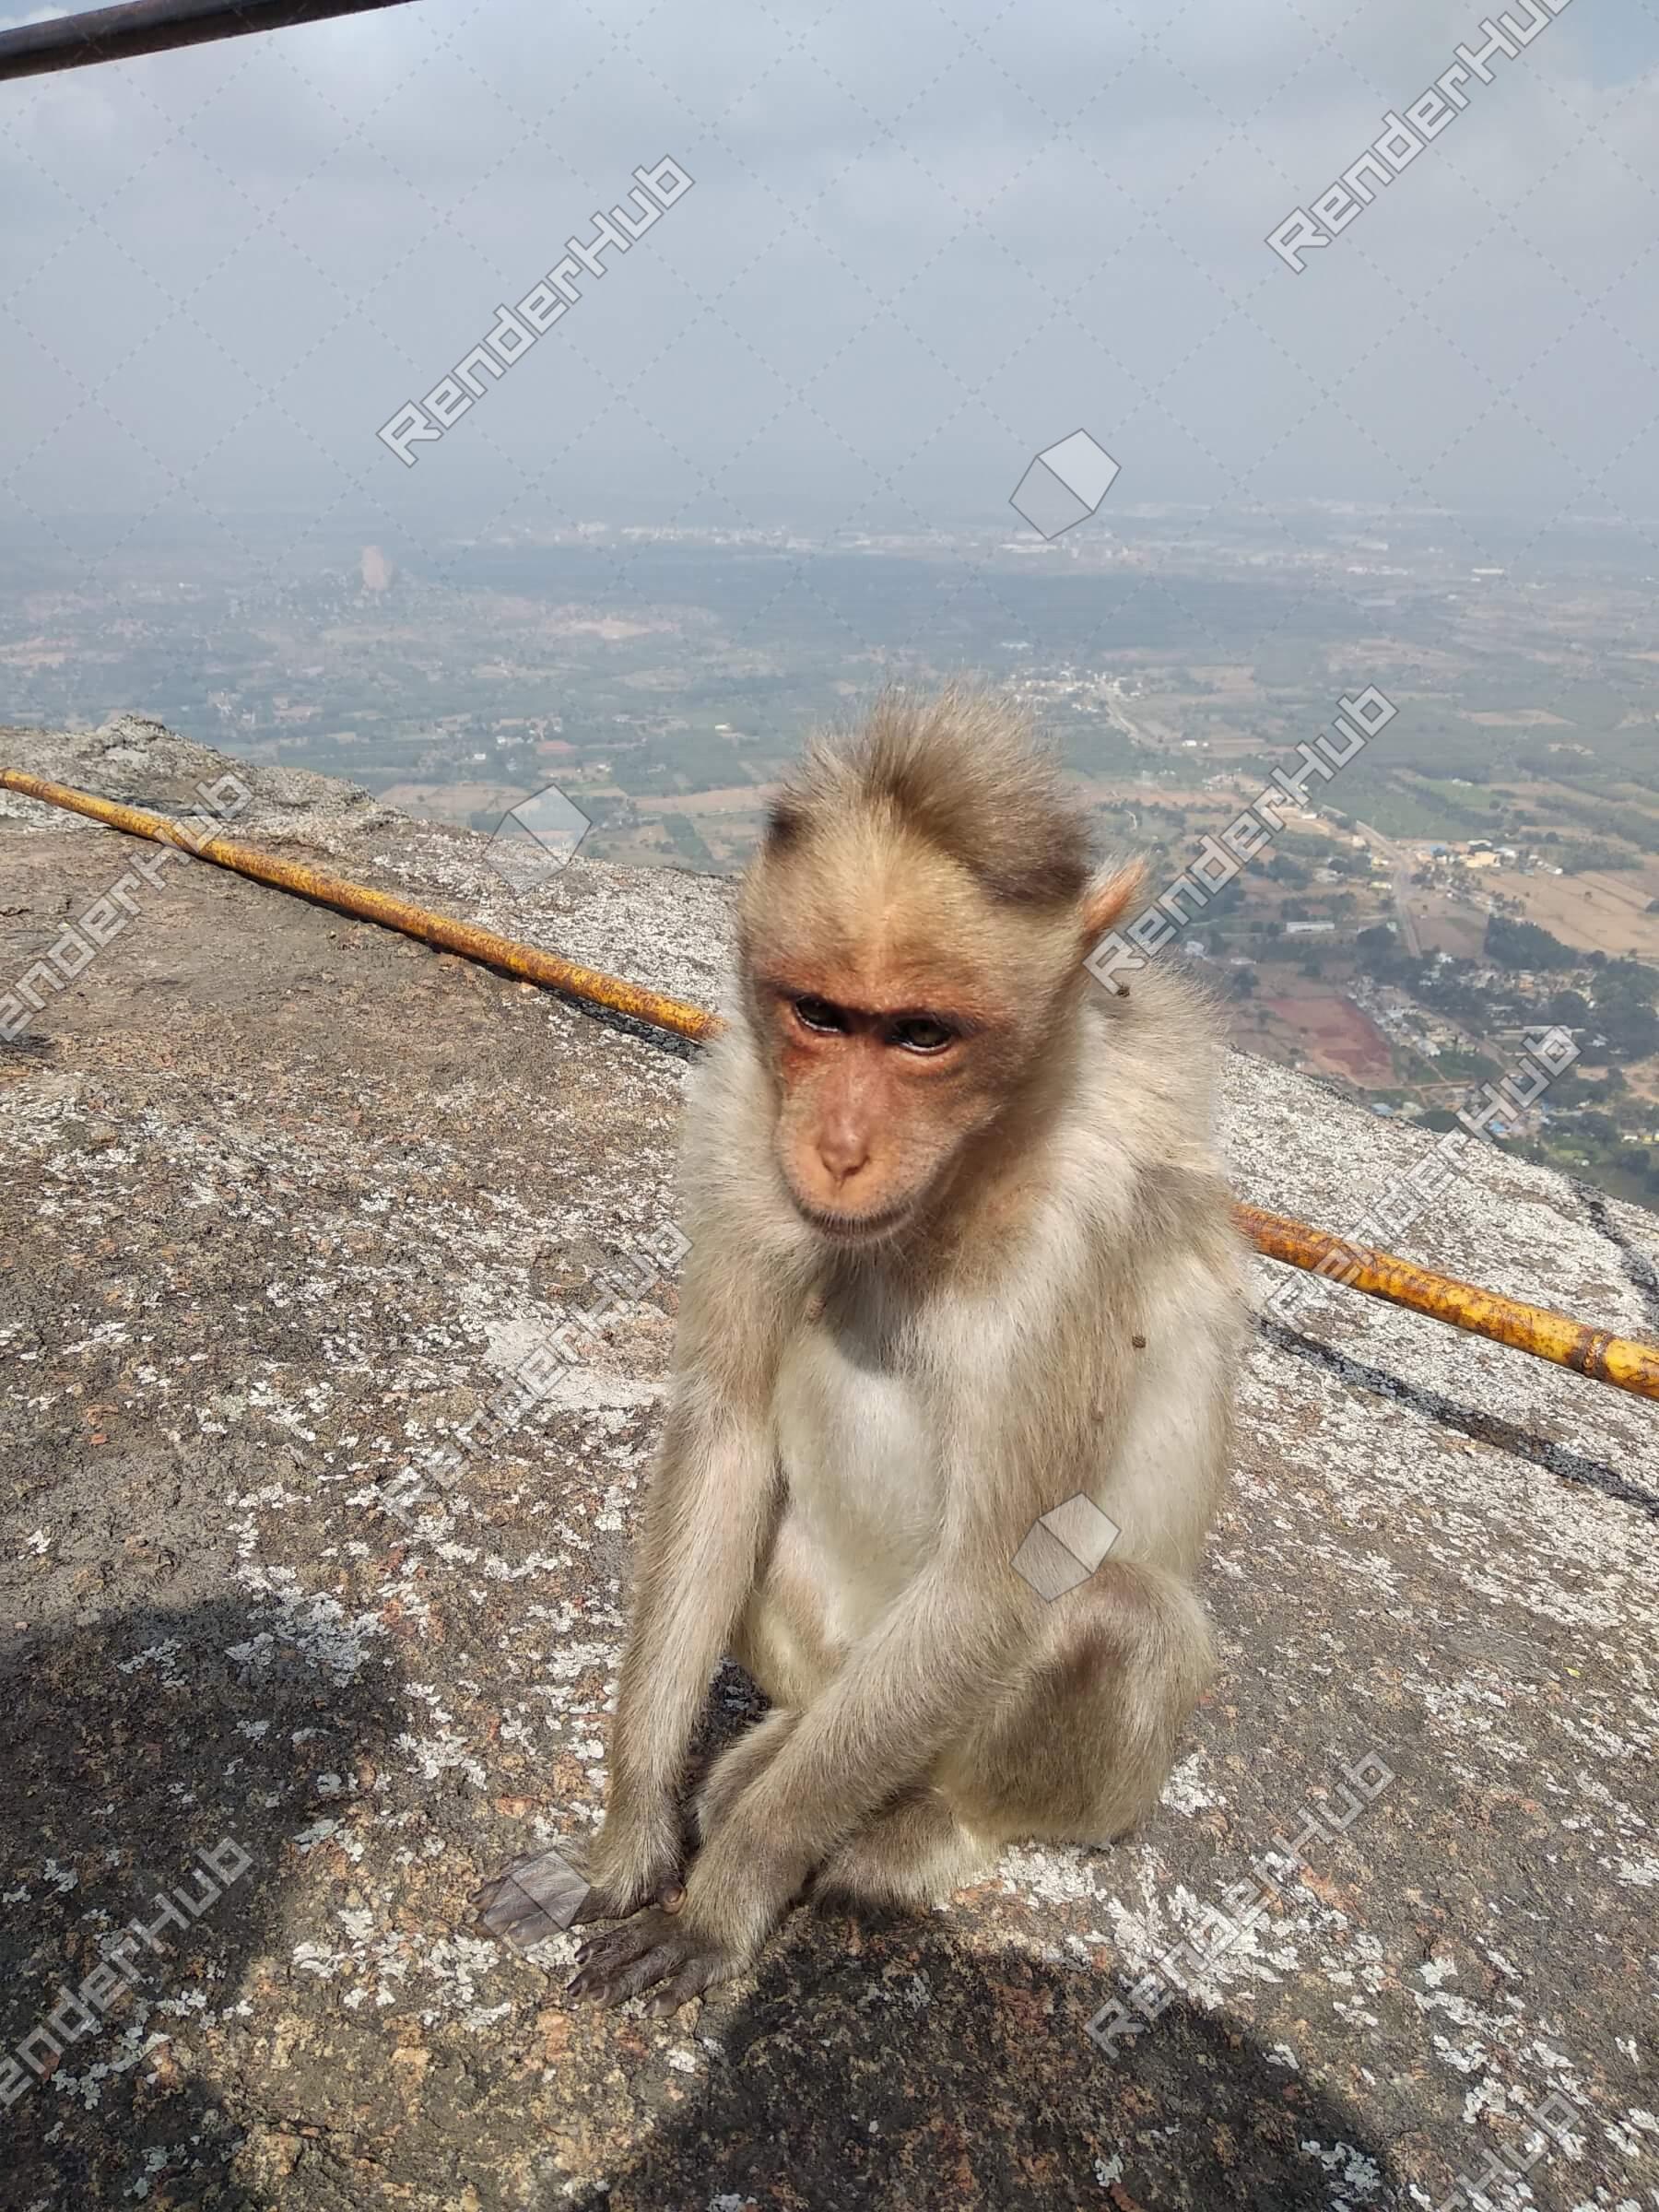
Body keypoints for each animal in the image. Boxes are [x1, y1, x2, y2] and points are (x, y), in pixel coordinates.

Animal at [488, 686, 1249, 2011]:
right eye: (821, 1016)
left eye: (922, 1035)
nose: (838, 1148)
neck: (967, 1174)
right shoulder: (741, 1121)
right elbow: (725, 1436)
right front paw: (629, 1842)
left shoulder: (1078, 1238)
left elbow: (1003, 1573)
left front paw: (727, 1894)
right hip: (829, 1656)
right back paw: (767, 1757)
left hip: (974, 1737)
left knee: (1117, 1615)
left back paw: (915, 1831)